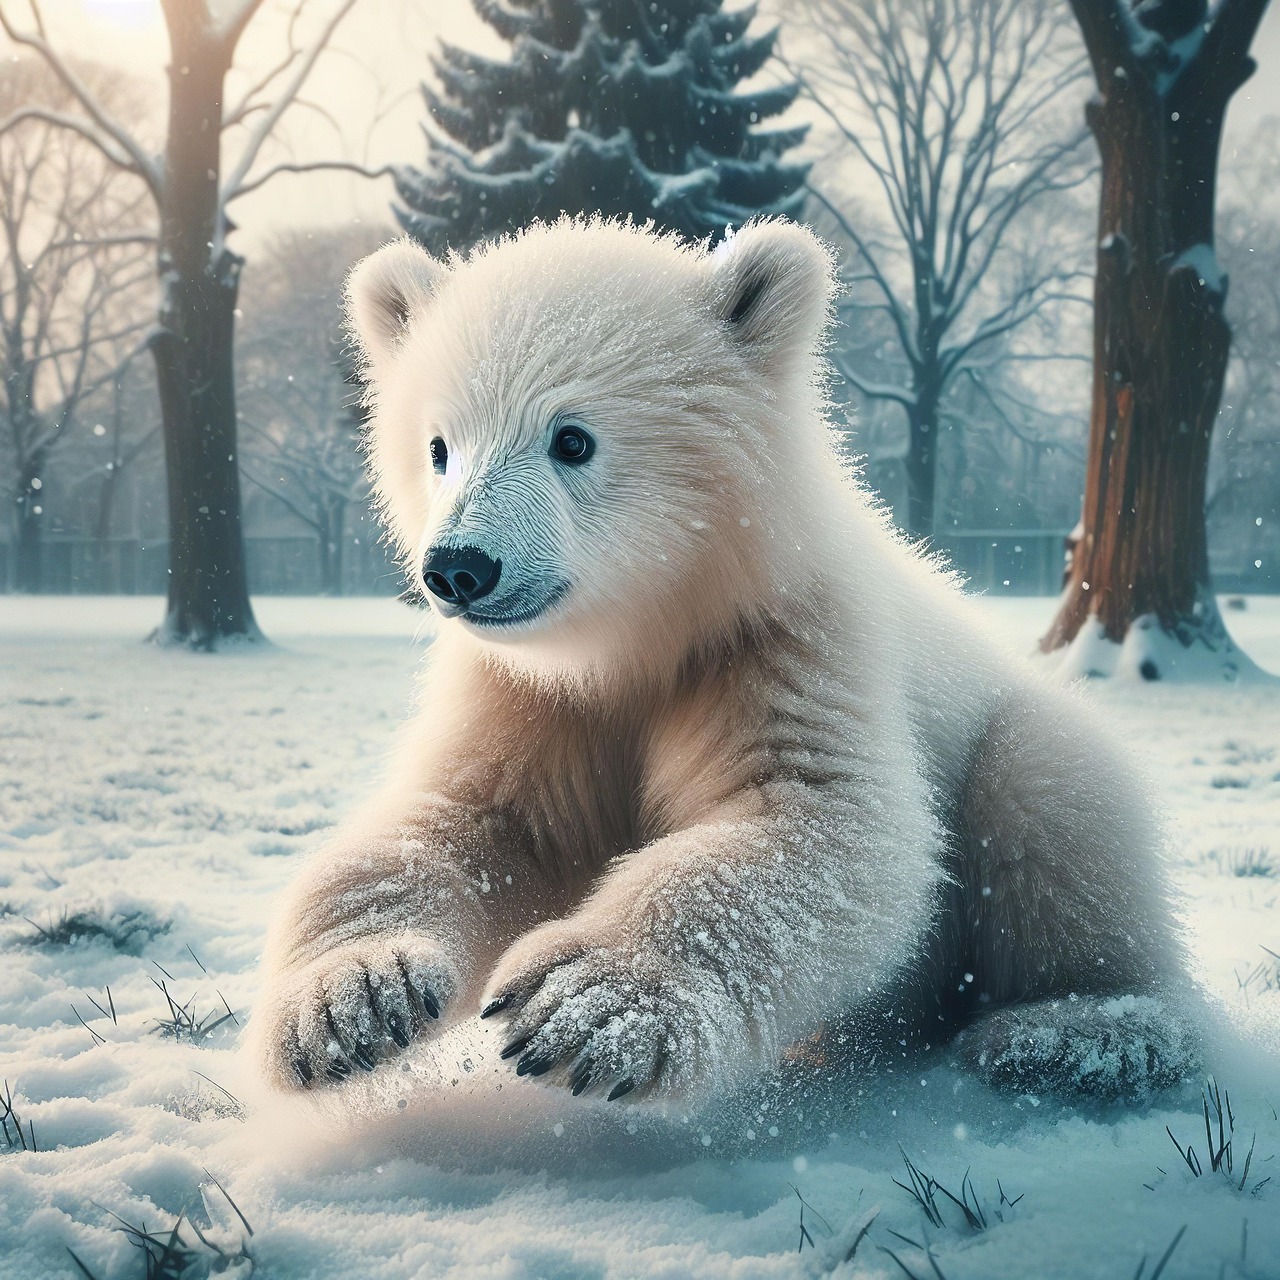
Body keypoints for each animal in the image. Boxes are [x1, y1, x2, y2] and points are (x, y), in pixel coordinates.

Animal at [250, 217, 1196, 1105]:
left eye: (572, 440)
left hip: (1018, 737)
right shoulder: (529, 694)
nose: (459, 567)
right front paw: (353, 999)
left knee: (1053, 809)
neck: (645, 633)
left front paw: (584, 1002)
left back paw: (1073, 1030)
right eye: (440, 447)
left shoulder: (782, 645)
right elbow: (465, 821)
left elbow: (817, 817)